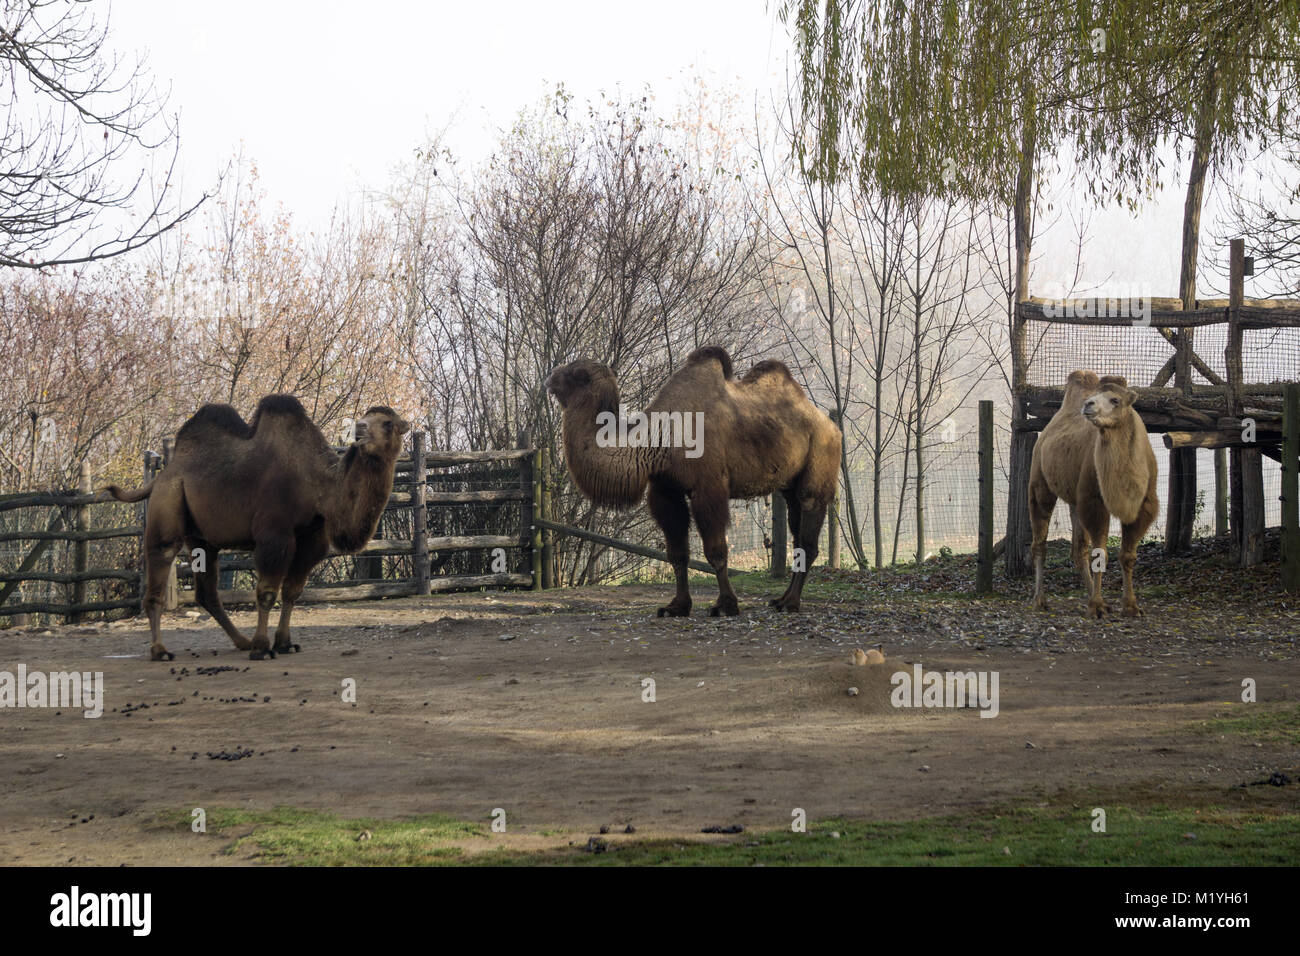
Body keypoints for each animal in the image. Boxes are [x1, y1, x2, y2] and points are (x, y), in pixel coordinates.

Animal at [107, 395, 408, 661]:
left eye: (388, 423)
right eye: (366, 418)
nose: (359, 429)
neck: (318, 484)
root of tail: (161, 475)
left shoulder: (311, 539)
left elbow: (293, 592)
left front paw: (284, 643)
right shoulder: (275, 535)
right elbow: (267, 592)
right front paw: (263, 648)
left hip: (201, 537)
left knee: (207, 589)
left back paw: (242, 641)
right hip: (168, 500)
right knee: (161, 558)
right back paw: (161, 651)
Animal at [546, 346, 842, 617]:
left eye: (574, 372)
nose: (549, 378)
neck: (659, 438)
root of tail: (831, 425)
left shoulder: (708, 488)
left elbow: (716, 551)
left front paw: (726, 605)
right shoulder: (665, 490)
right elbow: (677, 553)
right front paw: (676, 606)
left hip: (819, 462)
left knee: (809, 534)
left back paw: (791, 603)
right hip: (789, 485)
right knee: (797, 533)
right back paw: (781, 599)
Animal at [1029, 370, 1159, 618]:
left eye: (1115, 400)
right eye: (1094, 397)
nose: (1088, 405)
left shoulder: (1143, 505)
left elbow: (1128, 555)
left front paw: (1130, 605)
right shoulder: (1094, 501)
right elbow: (1100, 554)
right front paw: (1097, 606)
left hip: (1073, 499)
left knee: (1078, 549)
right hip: (1039, 480)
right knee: (1040, 540)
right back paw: (1040, 600)